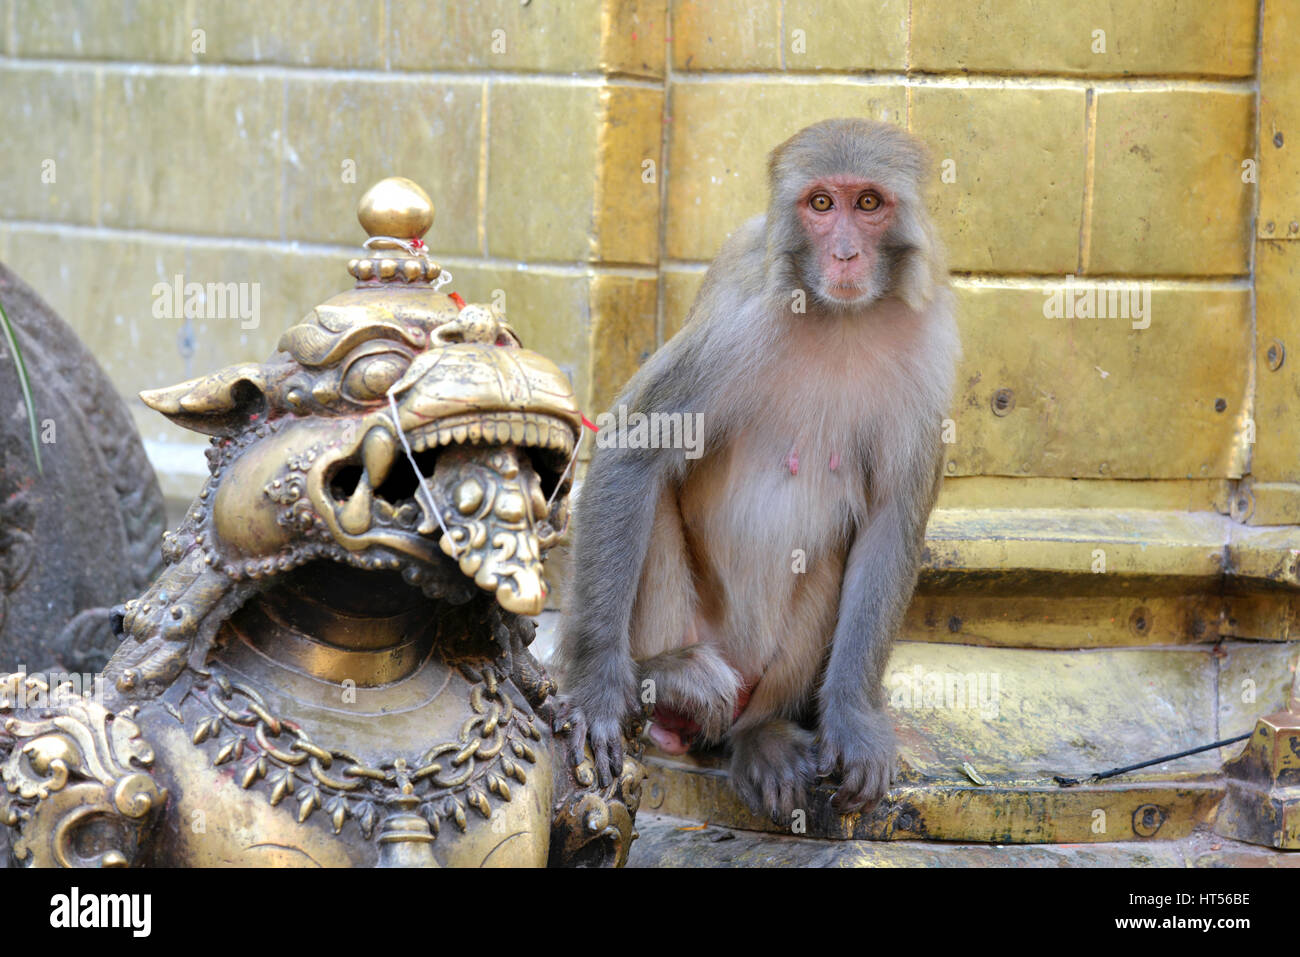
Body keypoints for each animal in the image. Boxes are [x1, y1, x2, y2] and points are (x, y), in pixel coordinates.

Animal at [555, 118, 959, 820]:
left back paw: (761, 734)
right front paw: (598, 692)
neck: (840, 317)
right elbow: (633, 451)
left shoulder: (930, 346)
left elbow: (890, 523)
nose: (845, 254)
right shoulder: (736, 324)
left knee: (828, 561)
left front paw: (852, 719)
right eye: (821, 204)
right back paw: (666, 681)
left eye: (869, 203)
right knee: (650, 499)